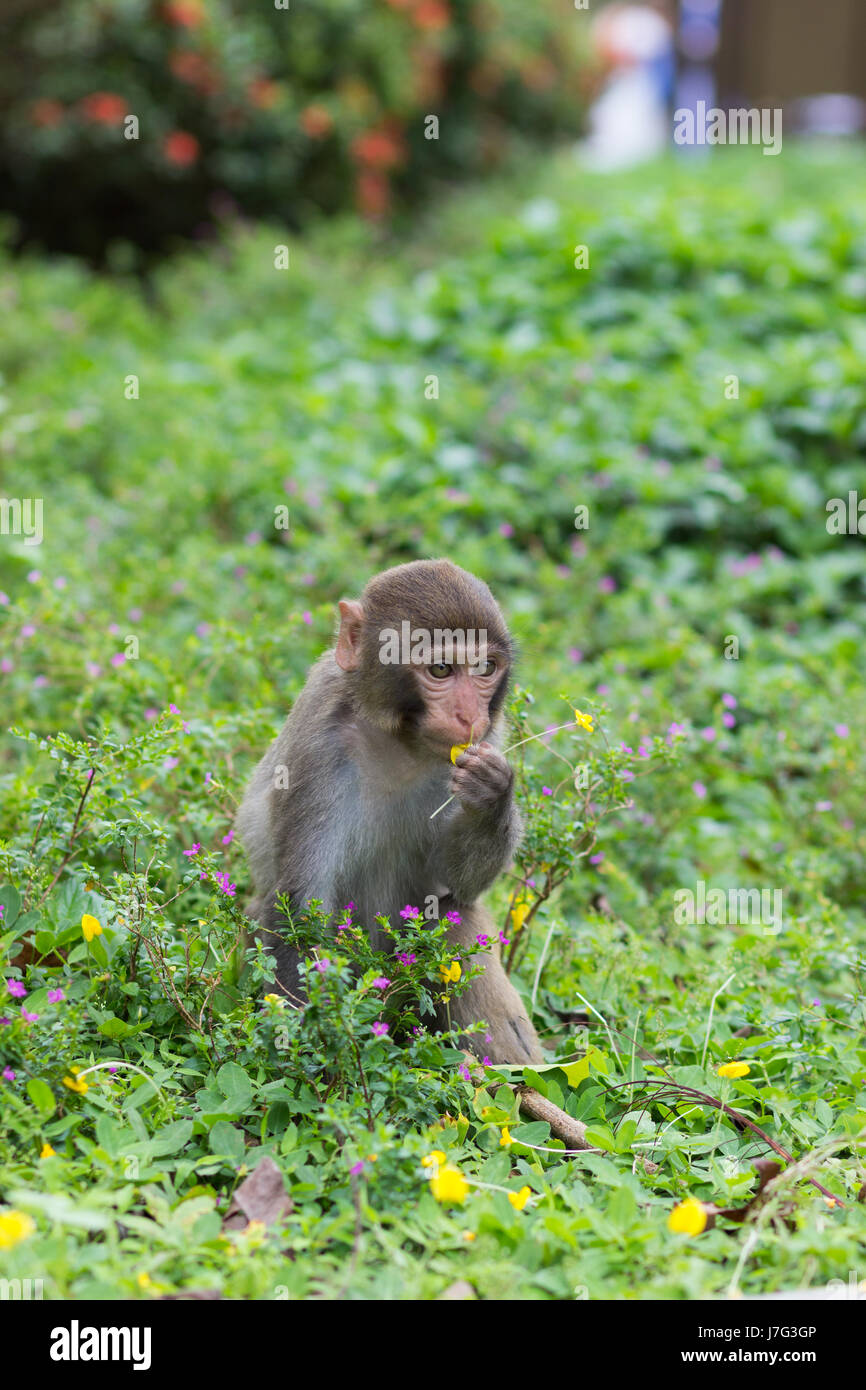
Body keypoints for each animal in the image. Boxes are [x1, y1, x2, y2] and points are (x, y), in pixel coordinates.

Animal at [235, 558, 543, 1064]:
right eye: (440, 668)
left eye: (484, 667)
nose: (468, 716)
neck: (399, 738)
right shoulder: (318, 748)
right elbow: (300, 909)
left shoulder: (487, 741)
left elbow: (459, 885)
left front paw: (491, 795)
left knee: (456, 921)